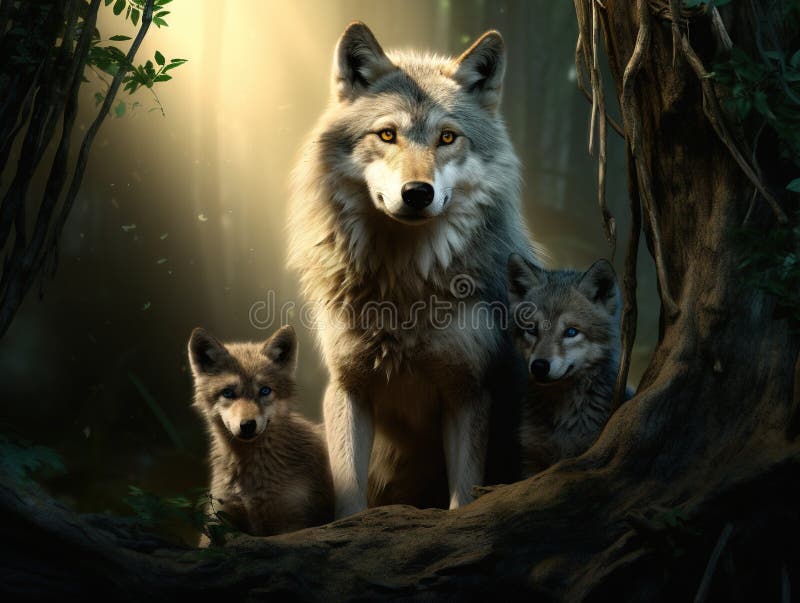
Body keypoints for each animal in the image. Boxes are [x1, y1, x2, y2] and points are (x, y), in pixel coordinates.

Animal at [288, 22, 536, 517]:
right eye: (387, 135)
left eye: (447, 138)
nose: (417, 192)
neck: (403, 284)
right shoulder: (348, 389)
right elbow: (349, 501)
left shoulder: (468, 393)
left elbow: (463, 498)